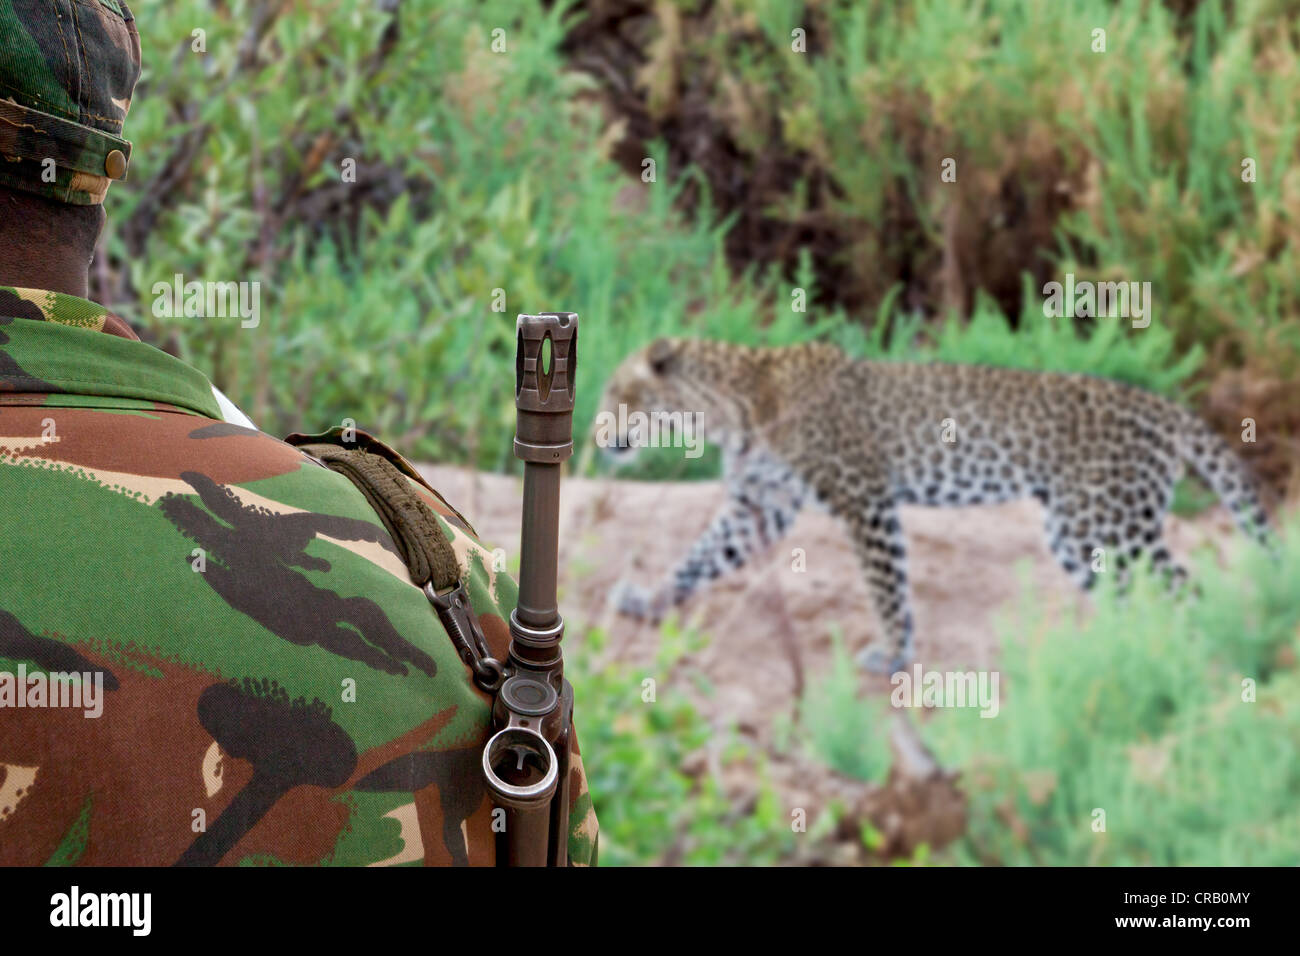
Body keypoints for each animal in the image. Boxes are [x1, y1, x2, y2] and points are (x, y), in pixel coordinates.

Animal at [596, 337, 1272, 674]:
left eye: (619, 393)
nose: (599, 435)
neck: (732, 409)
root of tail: (1164, 408)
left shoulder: (864, 496)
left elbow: (887, 586)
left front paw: (892, 652)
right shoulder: (761, 504)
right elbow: (698, 556)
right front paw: (648, 599)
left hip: (1101, 524)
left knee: (1188, 591)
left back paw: (1192, 657)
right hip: (1083, 534)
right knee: (1143, 598)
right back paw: (1131, 656)